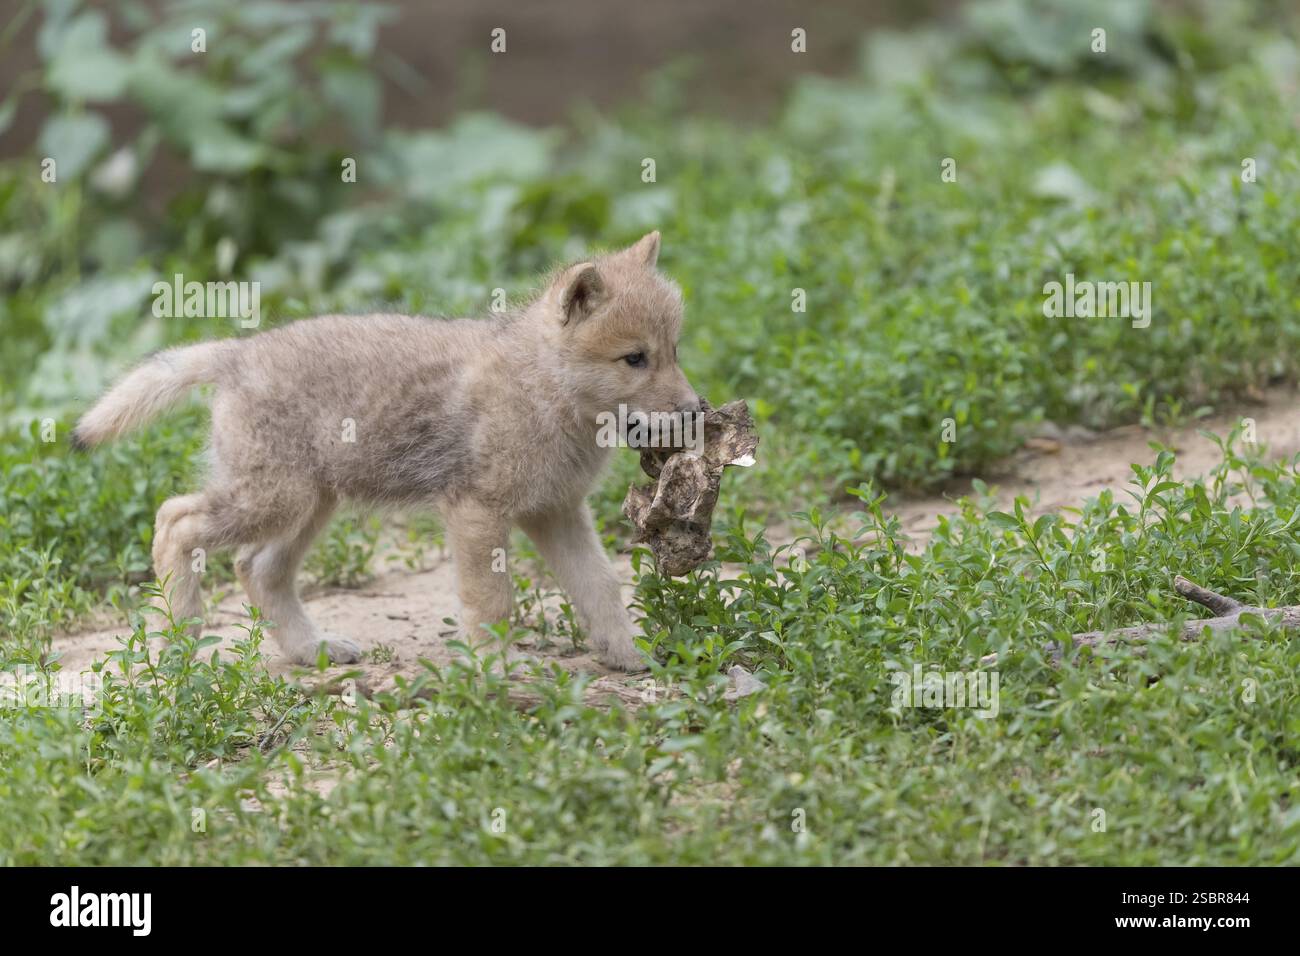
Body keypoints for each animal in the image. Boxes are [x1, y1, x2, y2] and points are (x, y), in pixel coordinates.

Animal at [73, 232, 698, 671]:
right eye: (635, 359)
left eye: (674, 351)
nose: (696, 410)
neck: (544, 389)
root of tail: (236, 354)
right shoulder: (478, 512)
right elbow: (493, 601)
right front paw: (495, 669)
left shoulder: (557, 512)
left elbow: (601, 586)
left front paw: (627, 654)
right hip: (272, 500)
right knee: (173, 521)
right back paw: (179, 638)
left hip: (309, 504)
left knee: (257, 570)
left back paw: (312, 650)